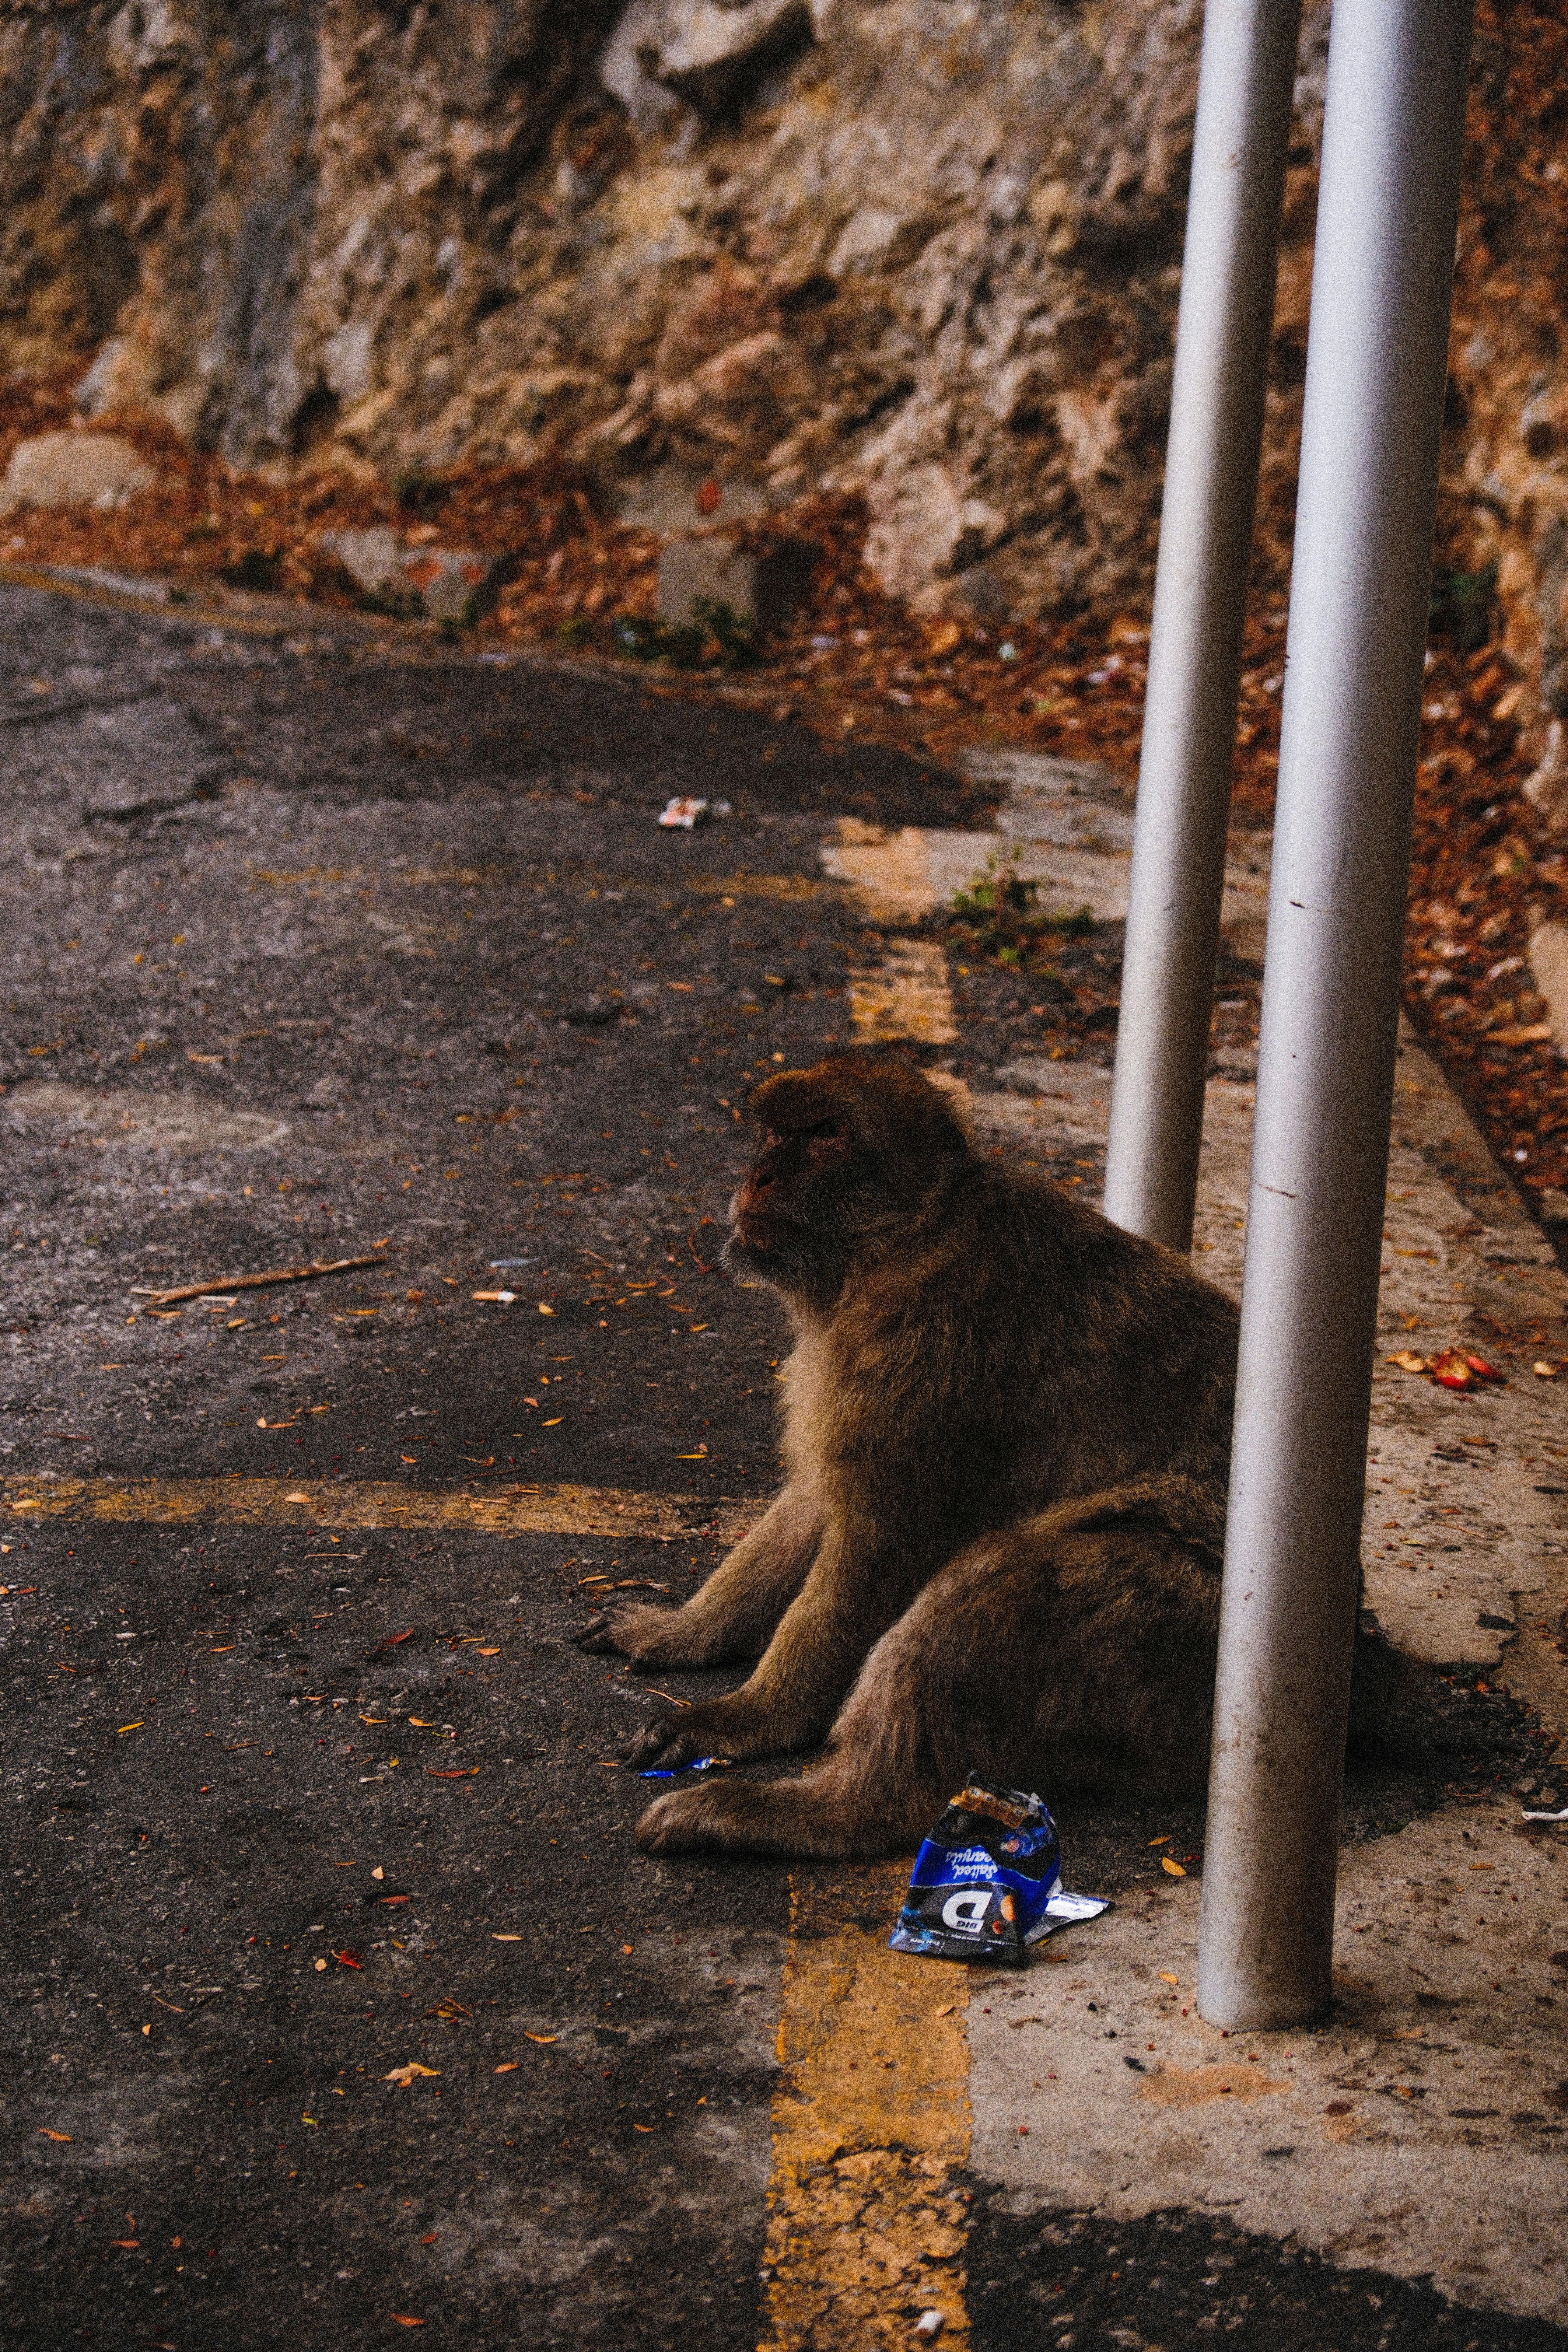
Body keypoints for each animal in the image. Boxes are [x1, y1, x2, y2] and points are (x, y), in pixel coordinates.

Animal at [576, 1052, 1404, 1860]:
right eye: (774, 1133)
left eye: (825, 1134)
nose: (760, 1177)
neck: (898, 1244)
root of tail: (1358, 1679)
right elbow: (815, 1501)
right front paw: (683, 1633)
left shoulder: (923, 1347)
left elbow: (883, 1543)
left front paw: (746, 1717)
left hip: (1191, 1654)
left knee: (997, 1576)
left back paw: (822, 1813)